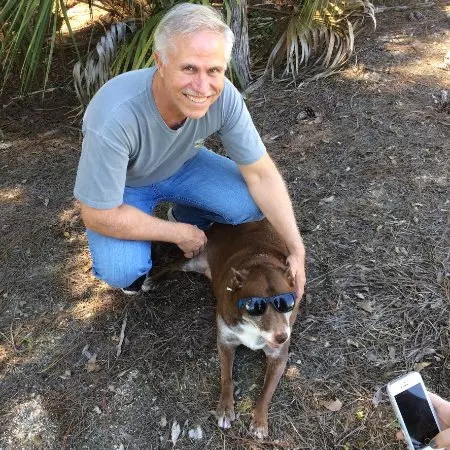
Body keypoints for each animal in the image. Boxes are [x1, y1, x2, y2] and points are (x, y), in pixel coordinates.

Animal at [178, 219, 300, 440]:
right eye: (255, 306)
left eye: (287, 303)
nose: (281, 337)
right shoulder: (225, 342)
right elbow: (227, 377)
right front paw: (225, 409)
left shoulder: (279, 357)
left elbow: (266, 391)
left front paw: (259, 422)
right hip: (191, 259)